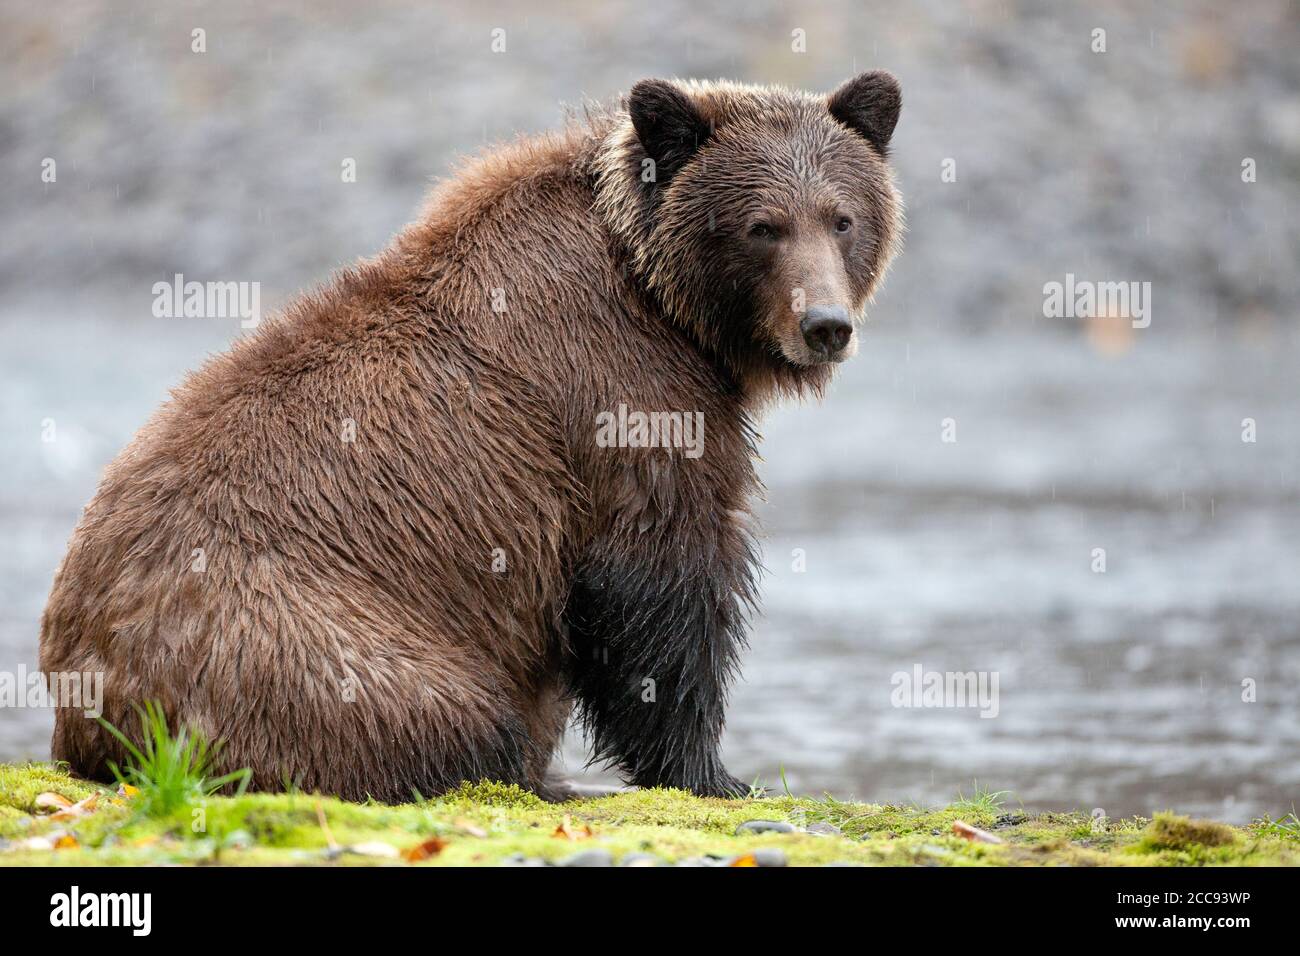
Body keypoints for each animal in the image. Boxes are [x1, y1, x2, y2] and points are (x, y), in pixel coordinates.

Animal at [39, 72, 903, 802]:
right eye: (764, 225)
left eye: (842, 217)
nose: (826, 325)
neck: (666, 304)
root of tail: (84, 708)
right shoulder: (620, 390)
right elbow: (658, 573)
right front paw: (715, 773)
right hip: (298, 643)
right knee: (446, 719)